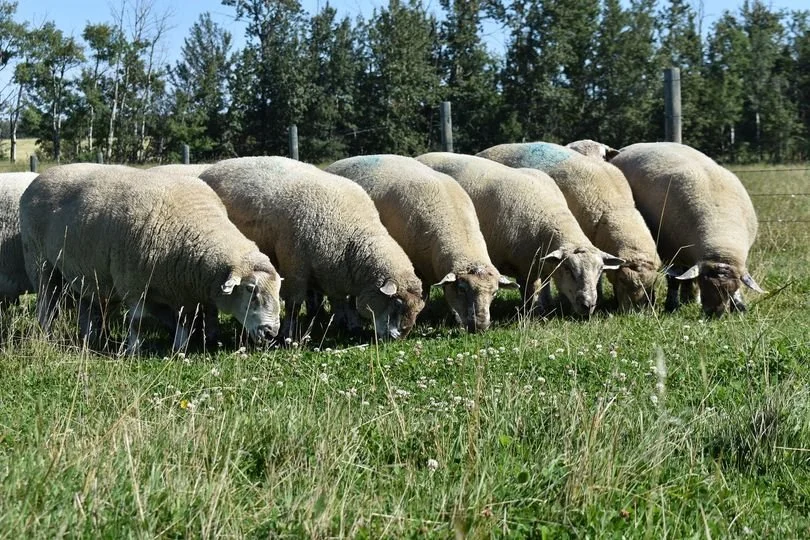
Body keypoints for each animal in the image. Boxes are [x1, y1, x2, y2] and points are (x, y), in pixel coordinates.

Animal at [19, 163, 282, 353]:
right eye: (250, 289)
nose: (271, 332)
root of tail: (43, 175)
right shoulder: (132, 284)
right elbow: (137, 321)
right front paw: (132, 351)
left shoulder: (181, 289)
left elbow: (184, 320)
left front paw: (179, 350)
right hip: (38, 261)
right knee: (46, 304)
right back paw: (47, 336)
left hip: (85, 271)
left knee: (87, 305)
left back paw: (92, 338)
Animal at [198, 156, 425, 340]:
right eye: (396, 303)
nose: (400, 337)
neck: (352, 233)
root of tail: (215, 166)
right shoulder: (295, 266)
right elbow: (294, 304)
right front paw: (288, 333)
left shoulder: (341, 273)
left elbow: (346, 300)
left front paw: (352, 326)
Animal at [417, 152, 624, 317]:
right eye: (568, 269)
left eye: (600, 270)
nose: (588, 306)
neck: (548, 219)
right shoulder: (526, 267)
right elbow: (530, 292)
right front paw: (531, 315)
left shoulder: (540, 264)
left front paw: (545, 309)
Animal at [609, 142, 765, 315]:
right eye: (705, 284)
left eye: (731, 289)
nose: (715, 314)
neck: (721, 226)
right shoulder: (671, 253)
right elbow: (674, 280)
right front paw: (671, 305)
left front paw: (739, 306)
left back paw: (689, 299)